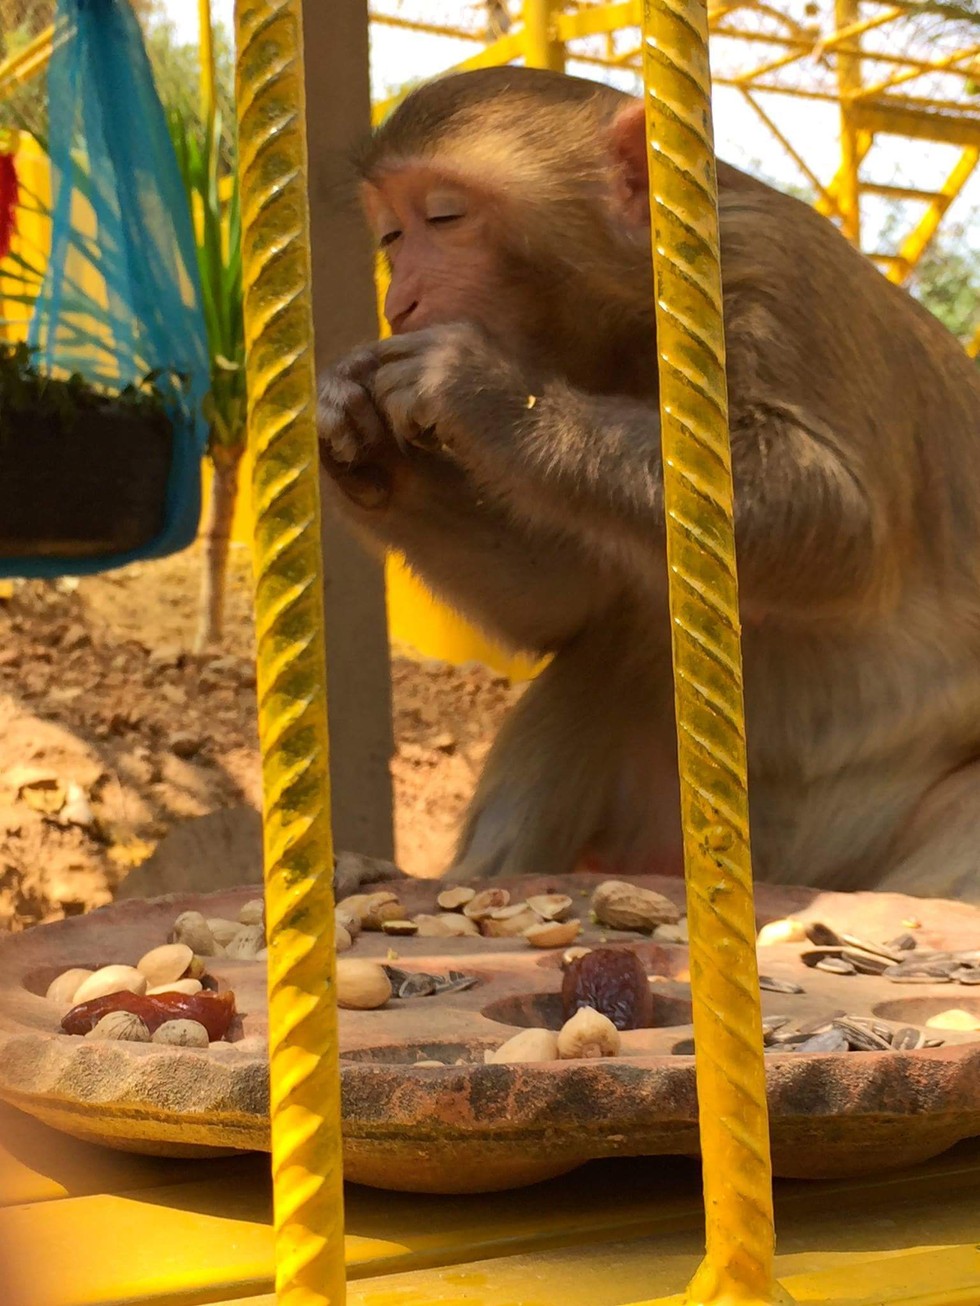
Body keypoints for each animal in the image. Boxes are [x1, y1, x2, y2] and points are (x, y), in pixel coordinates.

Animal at [317, 66, 980, 906]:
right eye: (392, 236)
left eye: (445, 215)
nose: (398, 302)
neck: (631, 317)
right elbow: (570, 601)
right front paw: (362, 435)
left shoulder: (769, 275)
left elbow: (837, 521)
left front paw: (483, 392)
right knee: (610, 655)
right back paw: (452, 878)